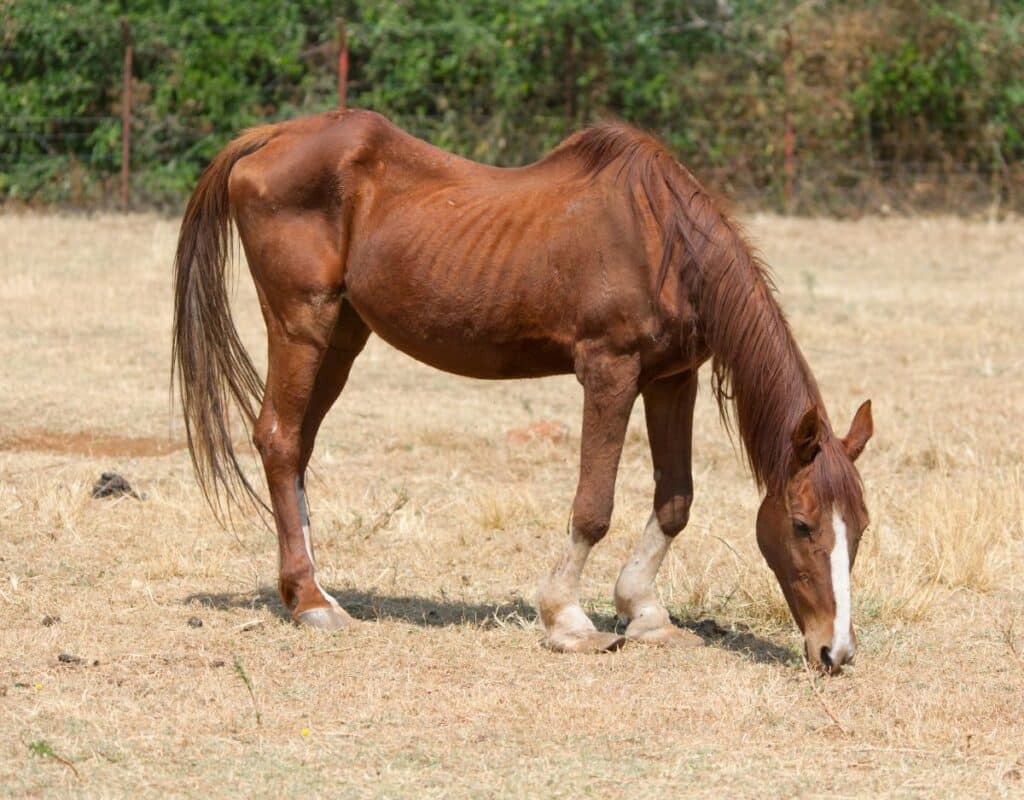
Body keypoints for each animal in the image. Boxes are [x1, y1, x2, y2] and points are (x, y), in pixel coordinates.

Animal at [172, 109, 873, 673]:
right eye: (804, 524)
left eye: (861, 527)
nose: (834, 652)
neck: (664, 242)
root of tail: (271, 136)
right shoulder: (610, 371)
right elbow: (593, 506)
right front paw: (569, 620)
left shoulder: (674, 379)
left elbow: (675, 499)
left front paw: (644, 612)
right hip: (301, 324)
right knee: (280, 439)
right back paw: (313, 603)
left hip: (342, 337)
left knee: (296, 447)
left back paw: (309, 590)